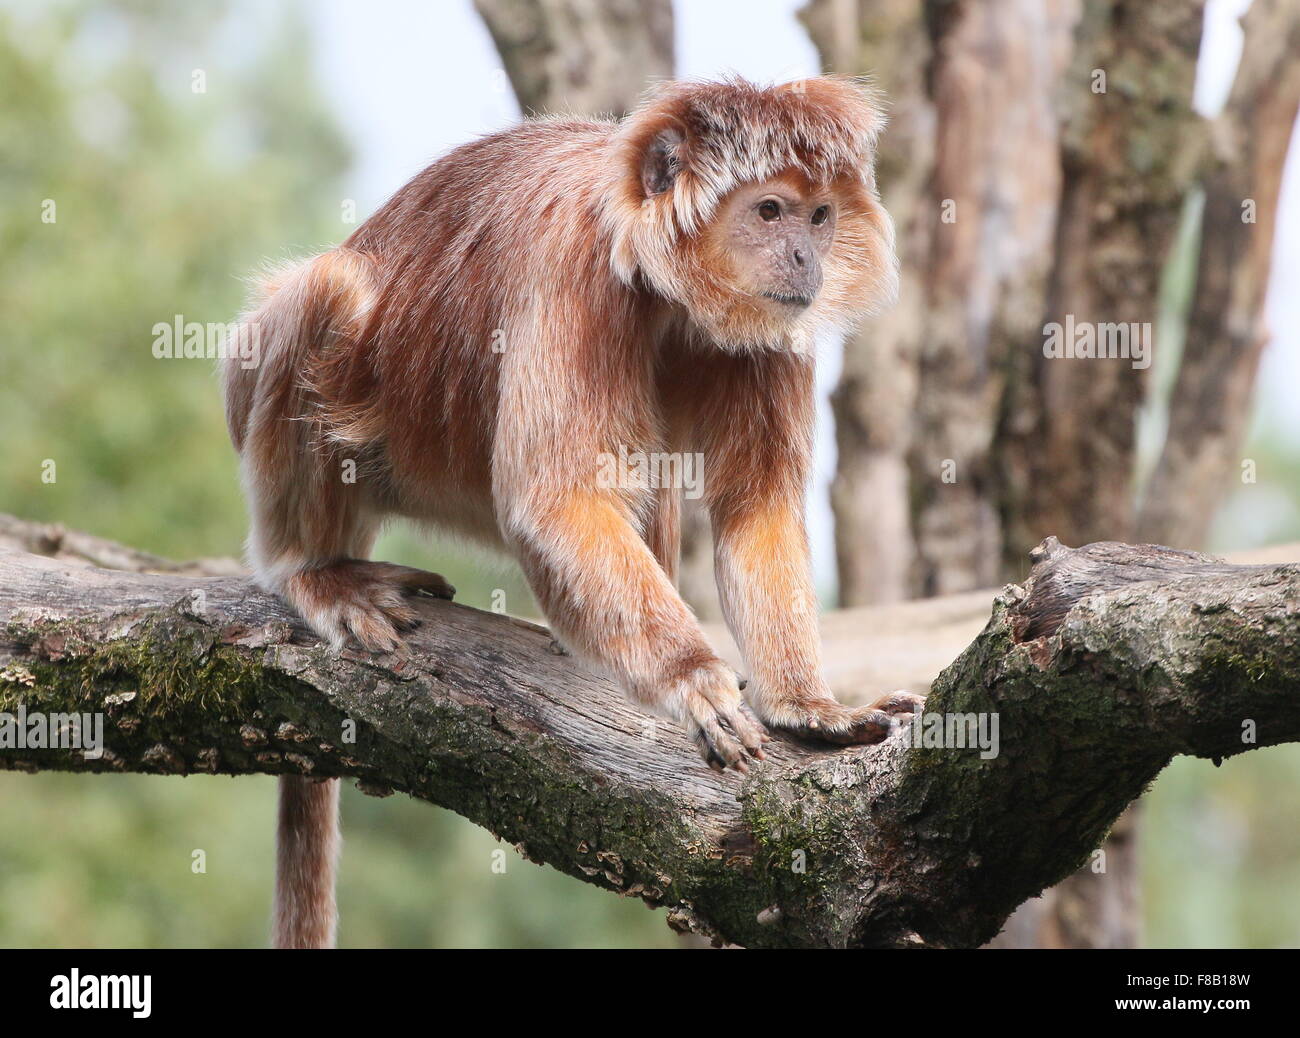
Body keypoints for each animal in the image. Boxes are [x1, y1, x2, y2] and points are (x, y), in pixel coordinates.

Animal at [223, 76, 922, 949]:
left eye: (819, 216)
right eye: (770, 212)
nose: (807, 257)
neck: (662, 286)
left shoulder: (773, 323)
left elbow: (752, 511)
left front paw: (809, 709)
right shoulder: (572, 271)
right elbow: (557, 501)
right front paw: (691, 680)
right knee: (328, 291)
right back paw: (314, 572)